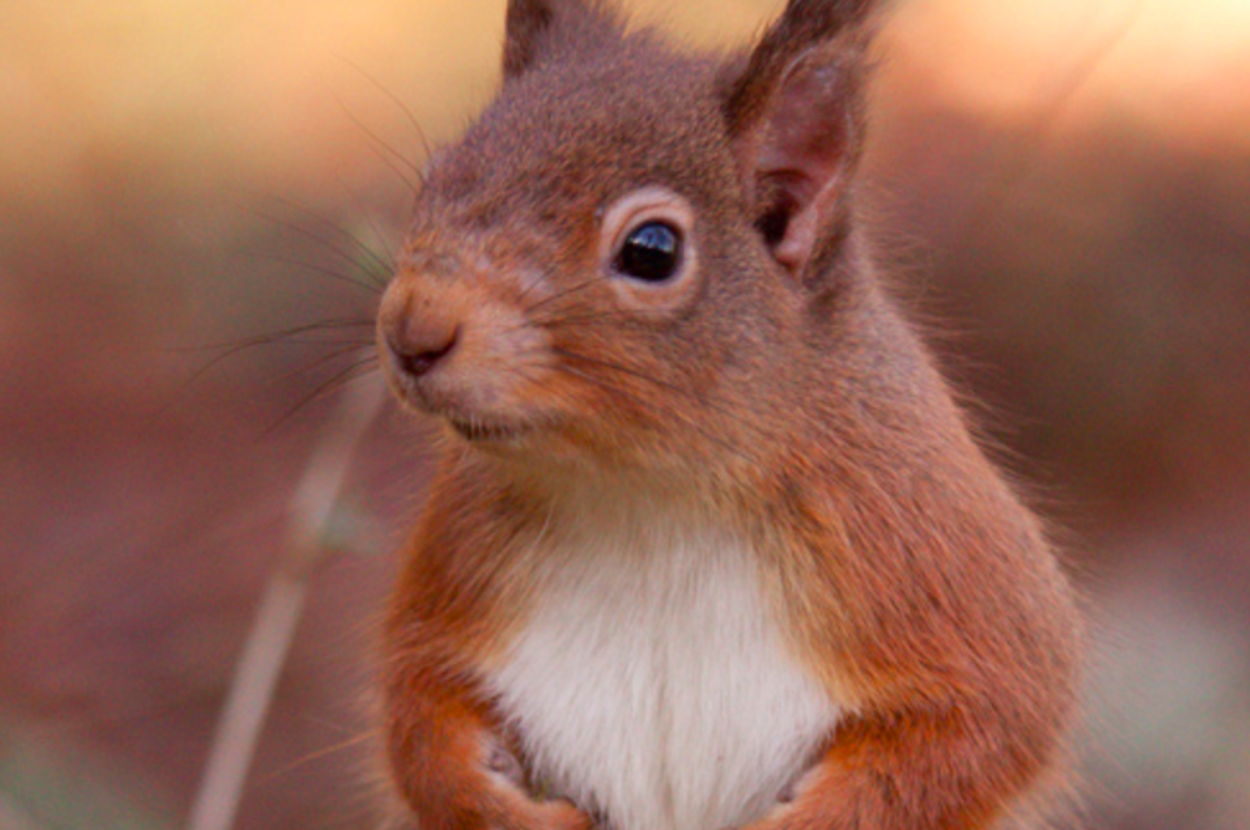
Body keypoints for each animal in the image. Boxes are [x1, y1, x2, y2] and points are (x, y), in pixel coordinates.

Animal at [372, 2, 1083, 830]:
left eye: (652, 250)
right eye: (435, 178)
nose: (412, 328)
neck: (647, 502)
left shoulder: (933, 557)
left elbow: (989, 721)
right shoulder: (457, 571)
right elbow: (418, 710)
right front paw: (505, 809)